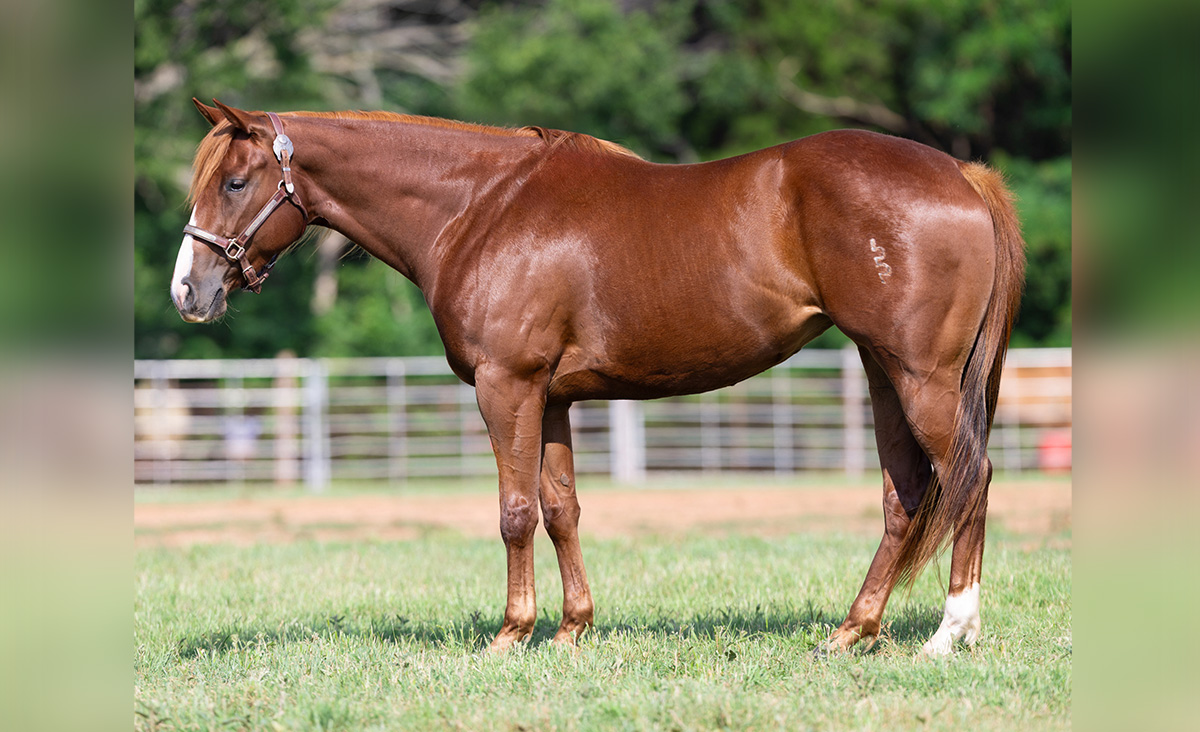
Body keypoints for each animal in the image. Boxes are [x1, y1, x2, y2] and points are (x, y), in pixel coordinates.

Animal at [171, 99, 1024, 656]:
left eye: (236, 183)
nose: (188, 291)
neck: (479, 207)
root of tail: (963, 173)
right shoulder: (550, 398)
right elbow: (561, 510)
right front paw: (572, 628)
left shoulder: (506, 385)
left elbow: (515, 512)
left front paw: (510, 635)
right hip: (885, 372)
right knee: (907, 493)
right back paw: (851, 631)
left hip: (921, 377)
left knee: (969, 476)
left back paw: (950, 632)